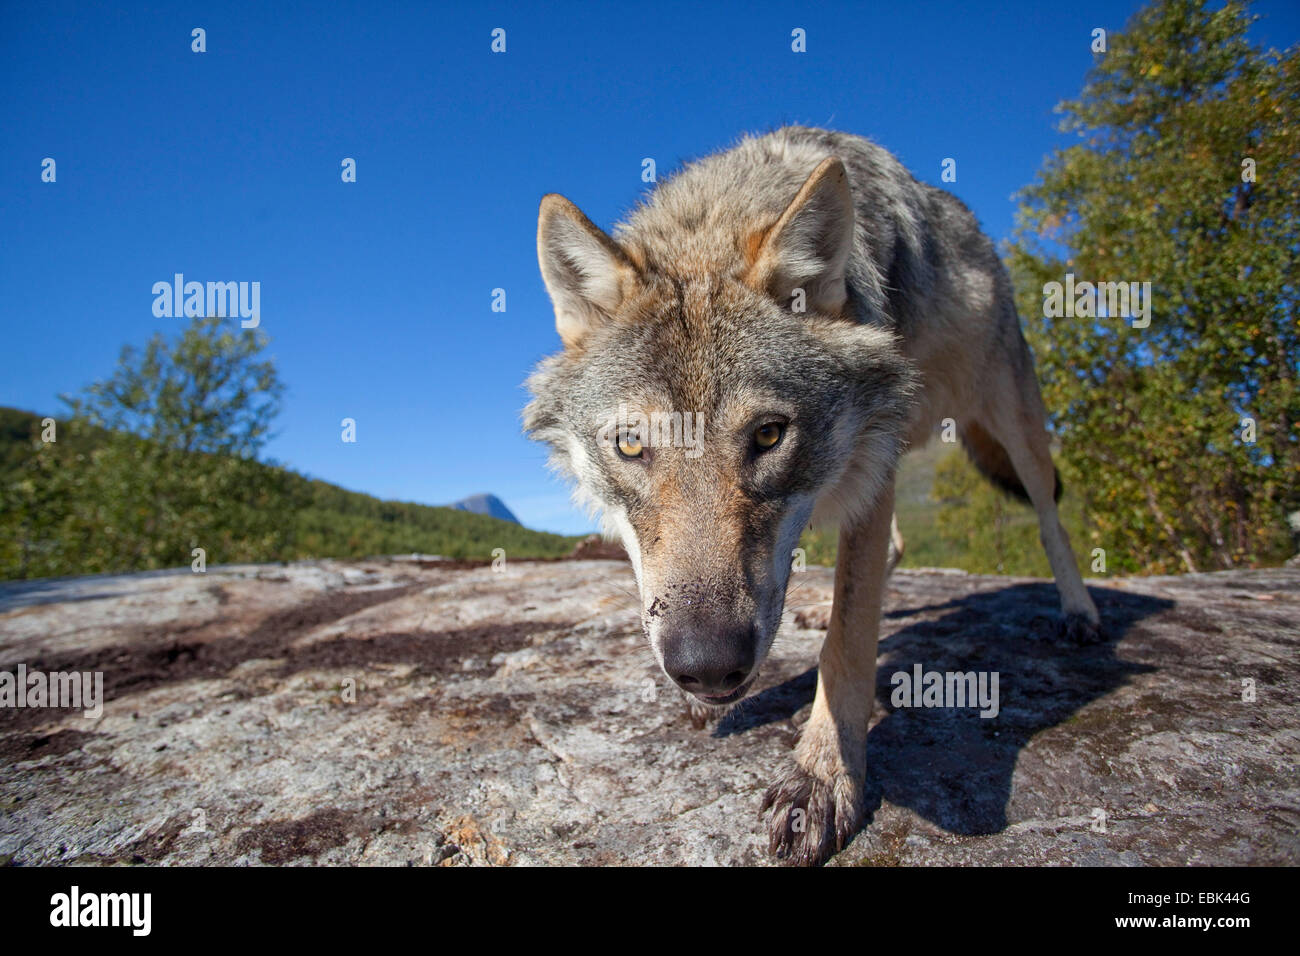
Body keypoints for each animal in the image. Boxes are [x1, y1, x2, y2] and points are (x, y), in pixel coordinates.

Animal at [524, 126, 1101, 866]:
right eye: (630, 447)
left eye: (769, 435)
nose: (706, 667)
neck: (721, 210)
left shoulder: (875, 465)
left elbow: (849, 642)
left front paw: (823, 778)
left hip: (1009, 421)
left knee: (1050, 515)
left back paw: (1079, 611)